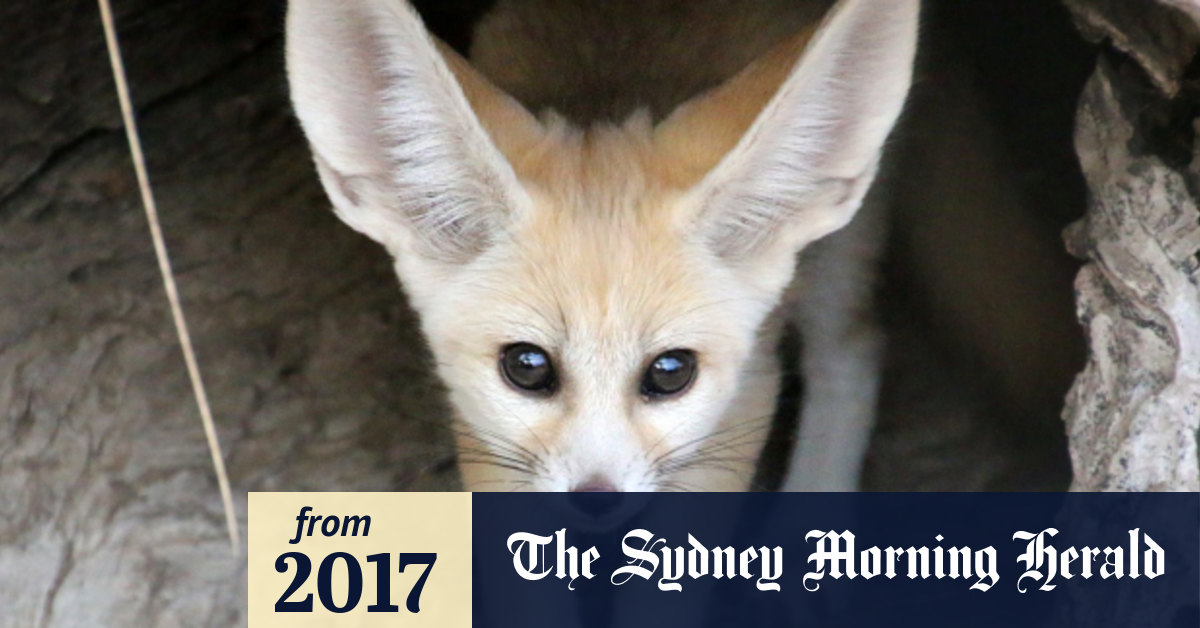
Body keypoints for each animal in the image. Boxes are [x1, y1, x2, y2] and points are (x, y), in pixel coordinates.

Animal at [285, 0, 919, 493]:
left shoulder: (743, 402)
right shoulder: (482, 429)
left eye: (670, 372)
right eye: (527, 366)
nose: (596, 496)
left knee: (852, 353)